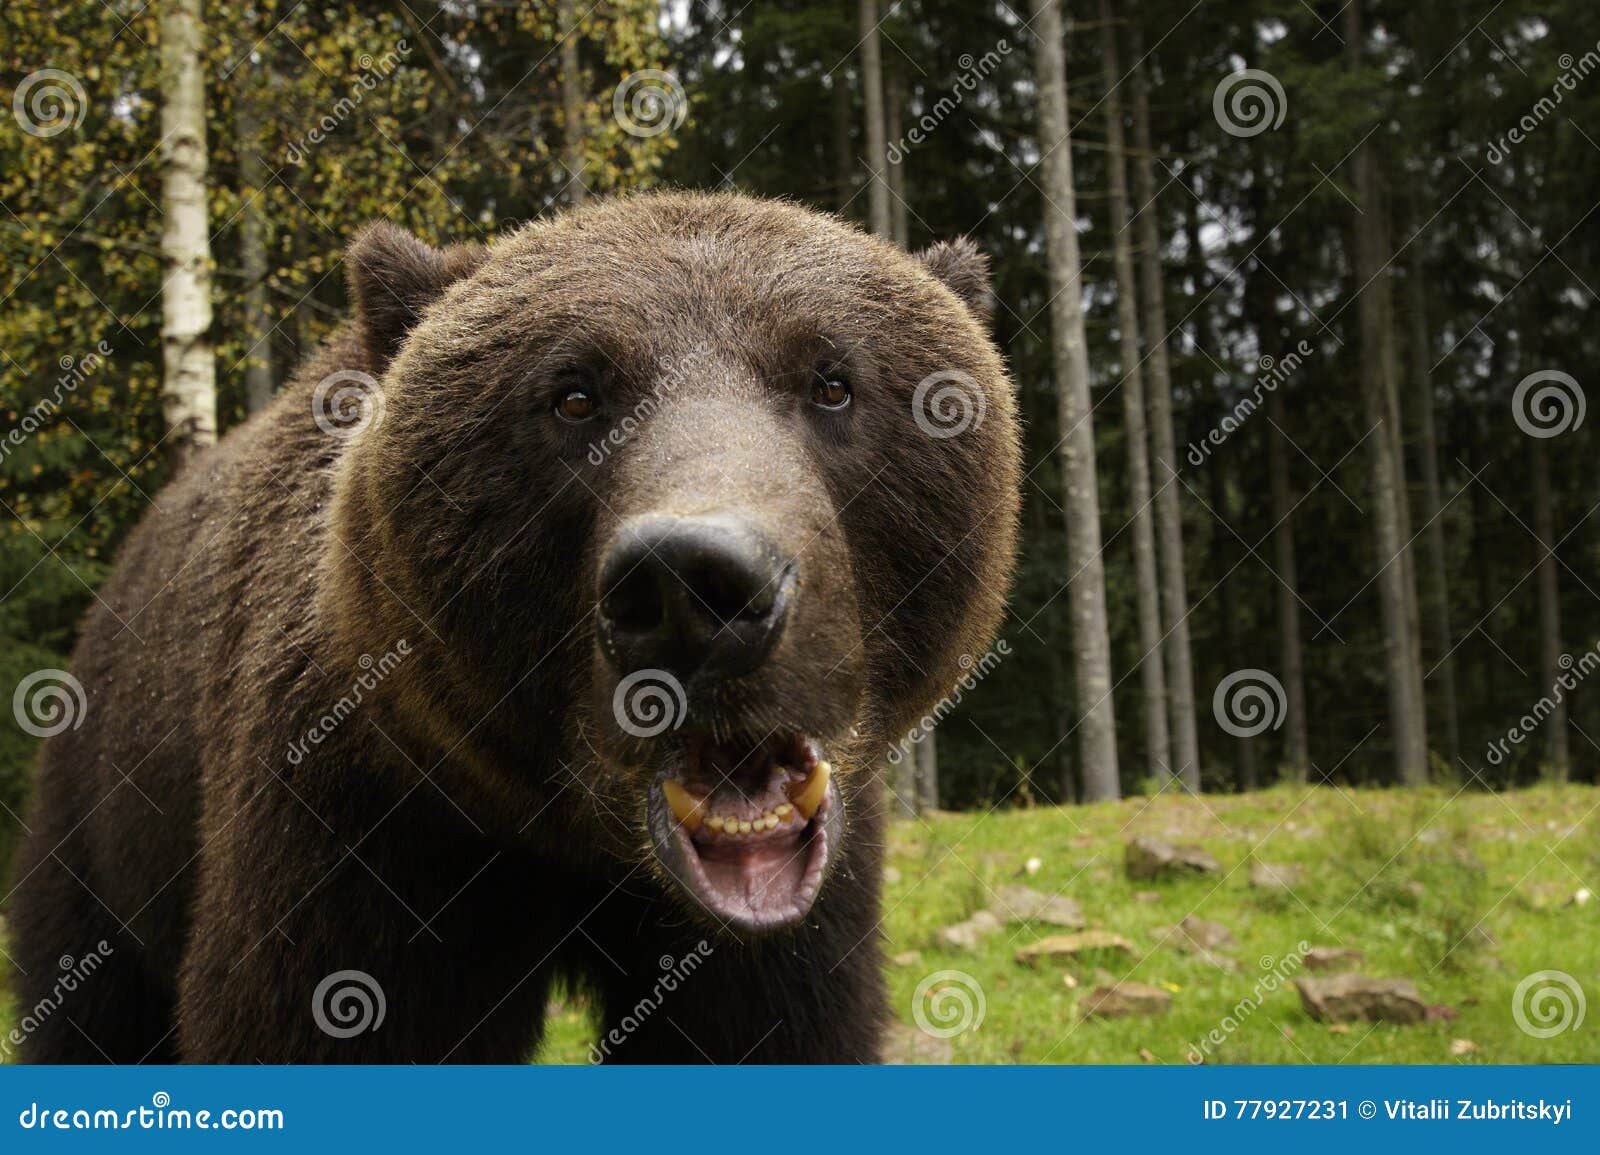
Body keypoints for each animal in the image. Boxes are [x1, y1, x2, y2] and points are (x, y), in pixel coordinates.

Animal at [6, 191, 1020, 1063]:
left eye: (832, 381)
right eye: (573, 393)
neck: (579, 843)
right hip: (101, 821)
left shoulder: (793, 931)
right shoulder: (363, 838)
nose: (694, 588)